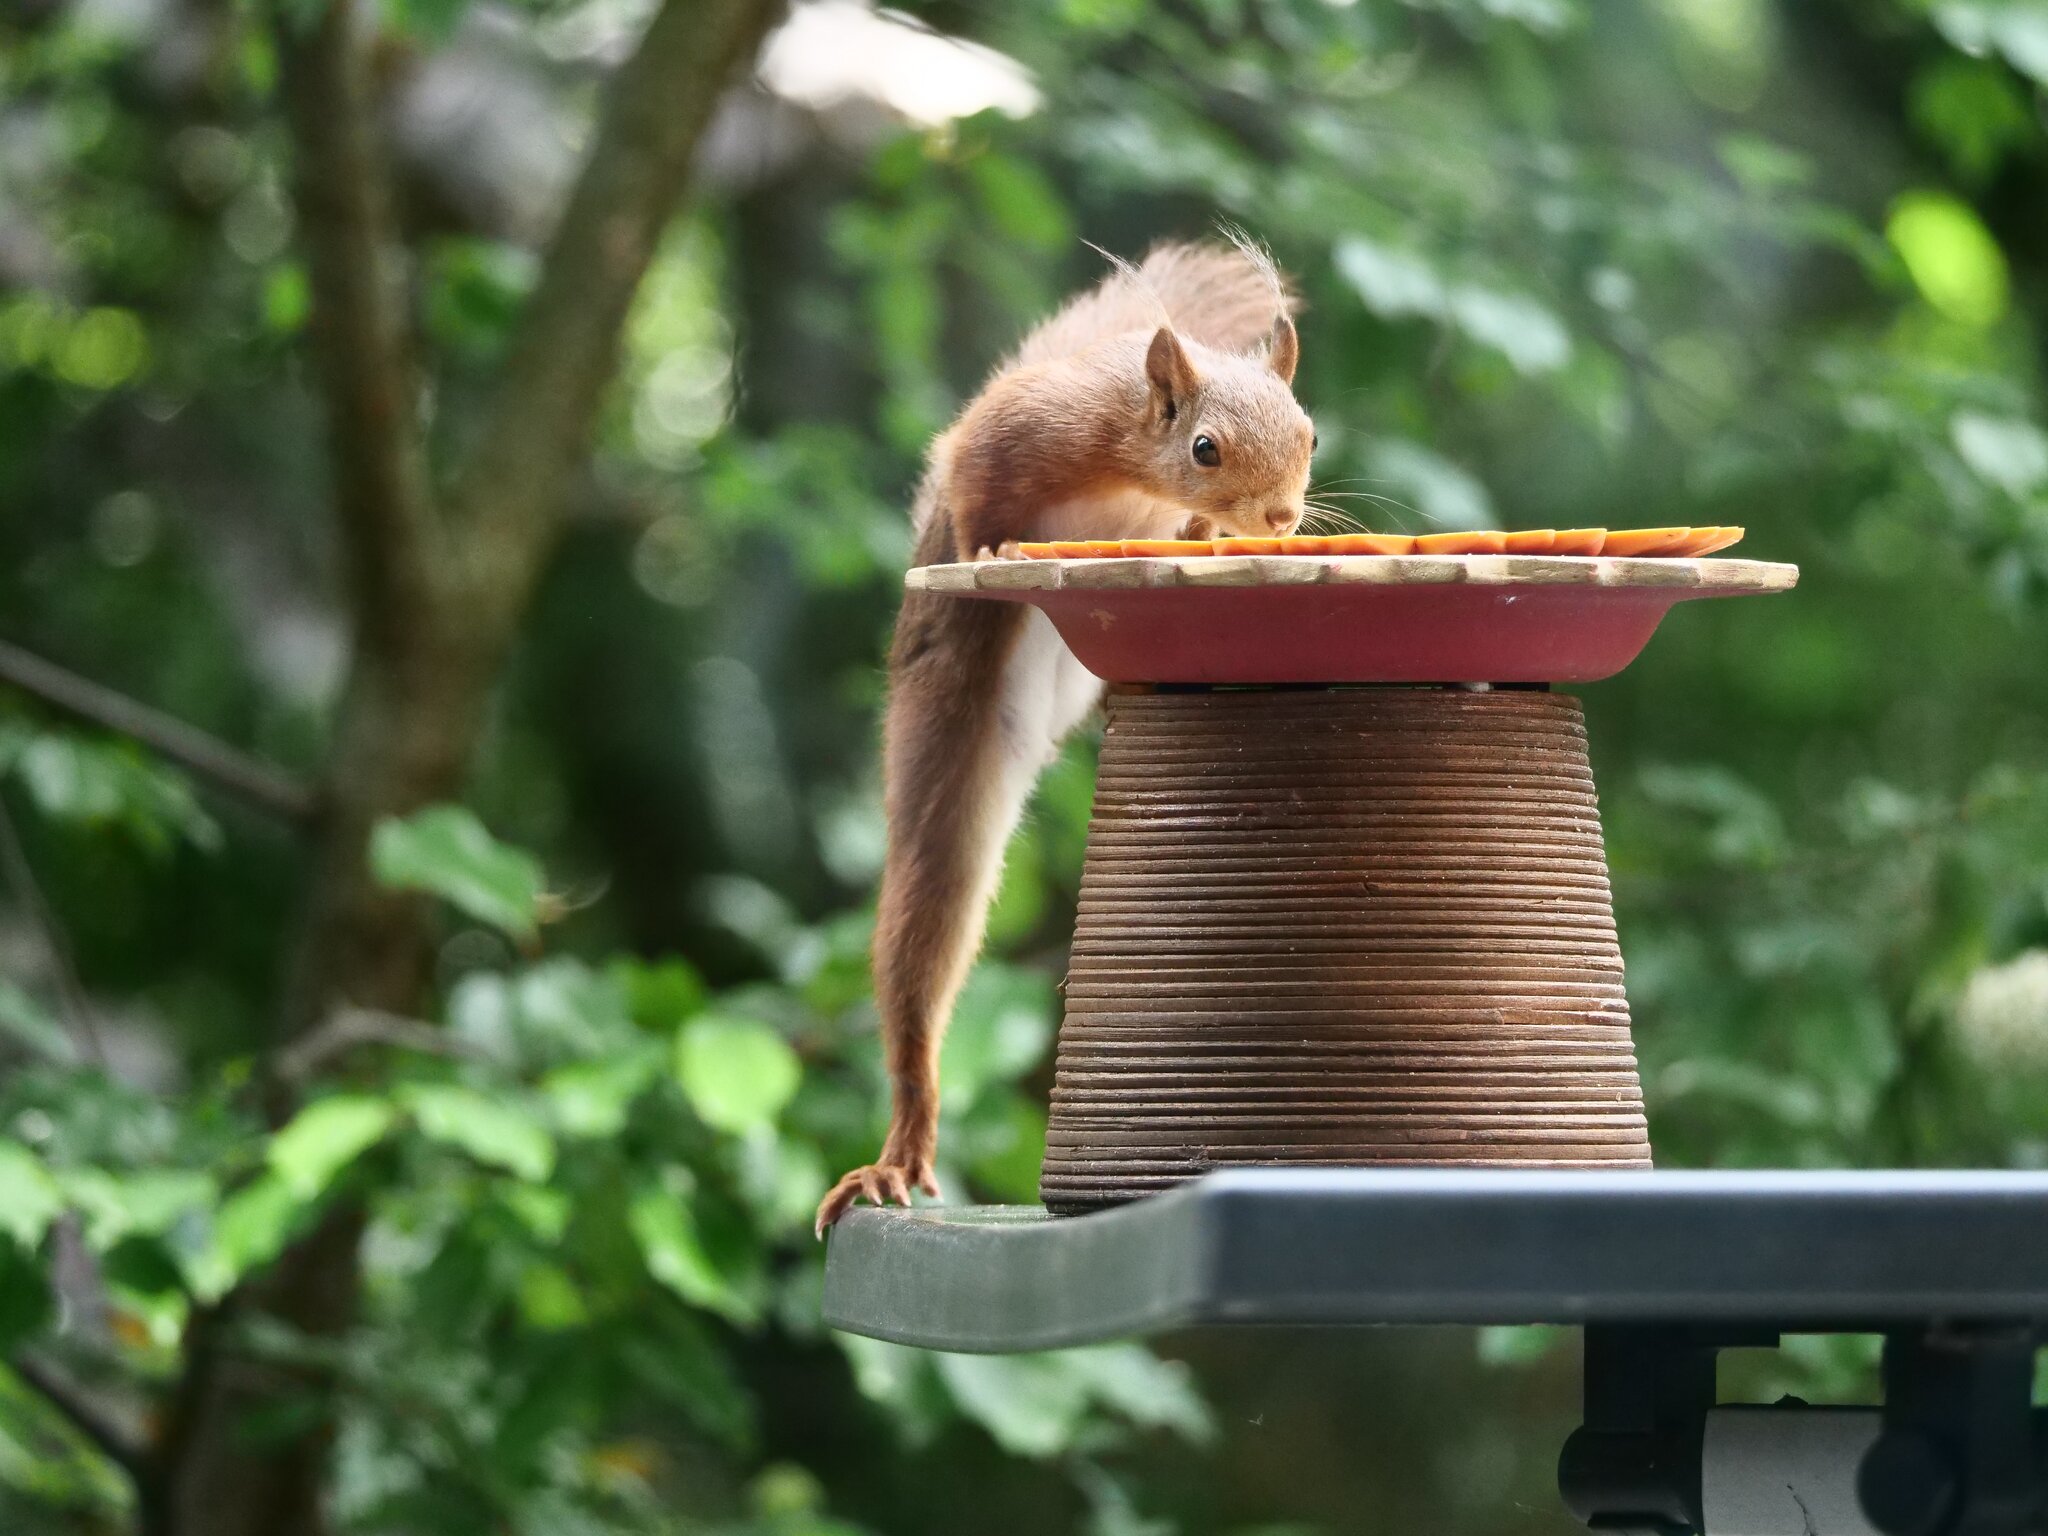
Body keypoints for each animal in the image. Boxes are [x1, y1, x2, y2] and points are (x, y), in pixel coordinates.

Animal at [815, 240, 1315, 1234]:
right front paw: (991, 554)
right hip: (945, 750)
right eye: (1205, 447)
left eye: (1310, 434)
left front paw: (1206, 536)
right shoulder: (1014, 429)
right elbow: (969, 486)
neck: (1128, 472)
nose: (1281, 520)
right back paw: (899, 1151)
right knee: (922, 939)